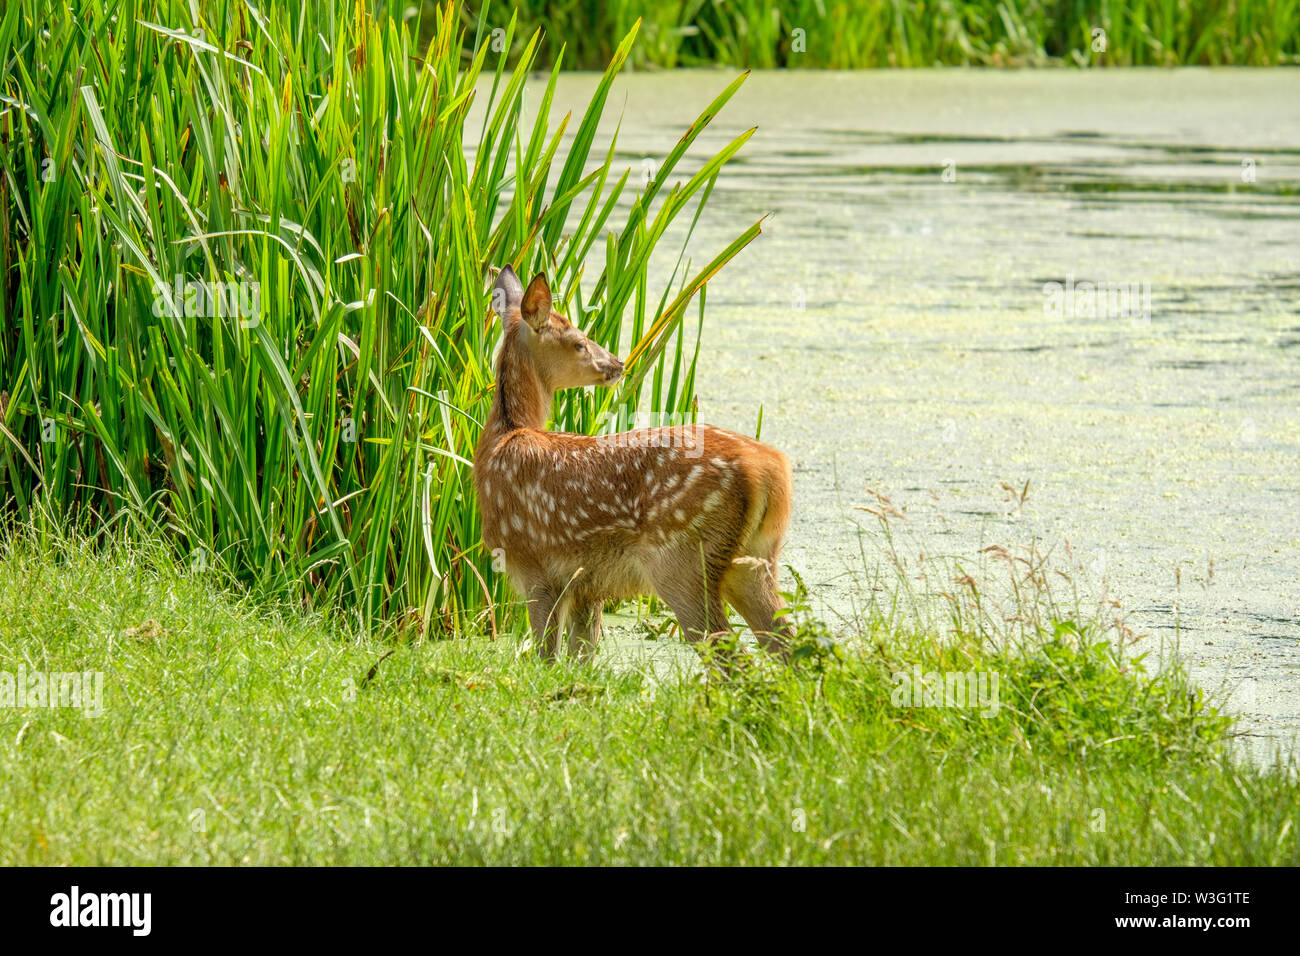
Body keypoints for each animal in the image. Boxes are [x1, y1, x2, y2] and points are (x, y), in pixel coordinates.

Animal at [473, 266, 795, 666]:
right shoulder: (586, 583)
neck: (503, 438)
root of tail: (770, 468)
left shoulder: (534, 564)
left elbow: (547, 657)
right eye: (578, 342)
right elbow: (580, 657)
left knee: (730, 655)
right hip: (756, 558)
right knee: (793, 646)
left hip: (681, 558)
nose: (616, 363)